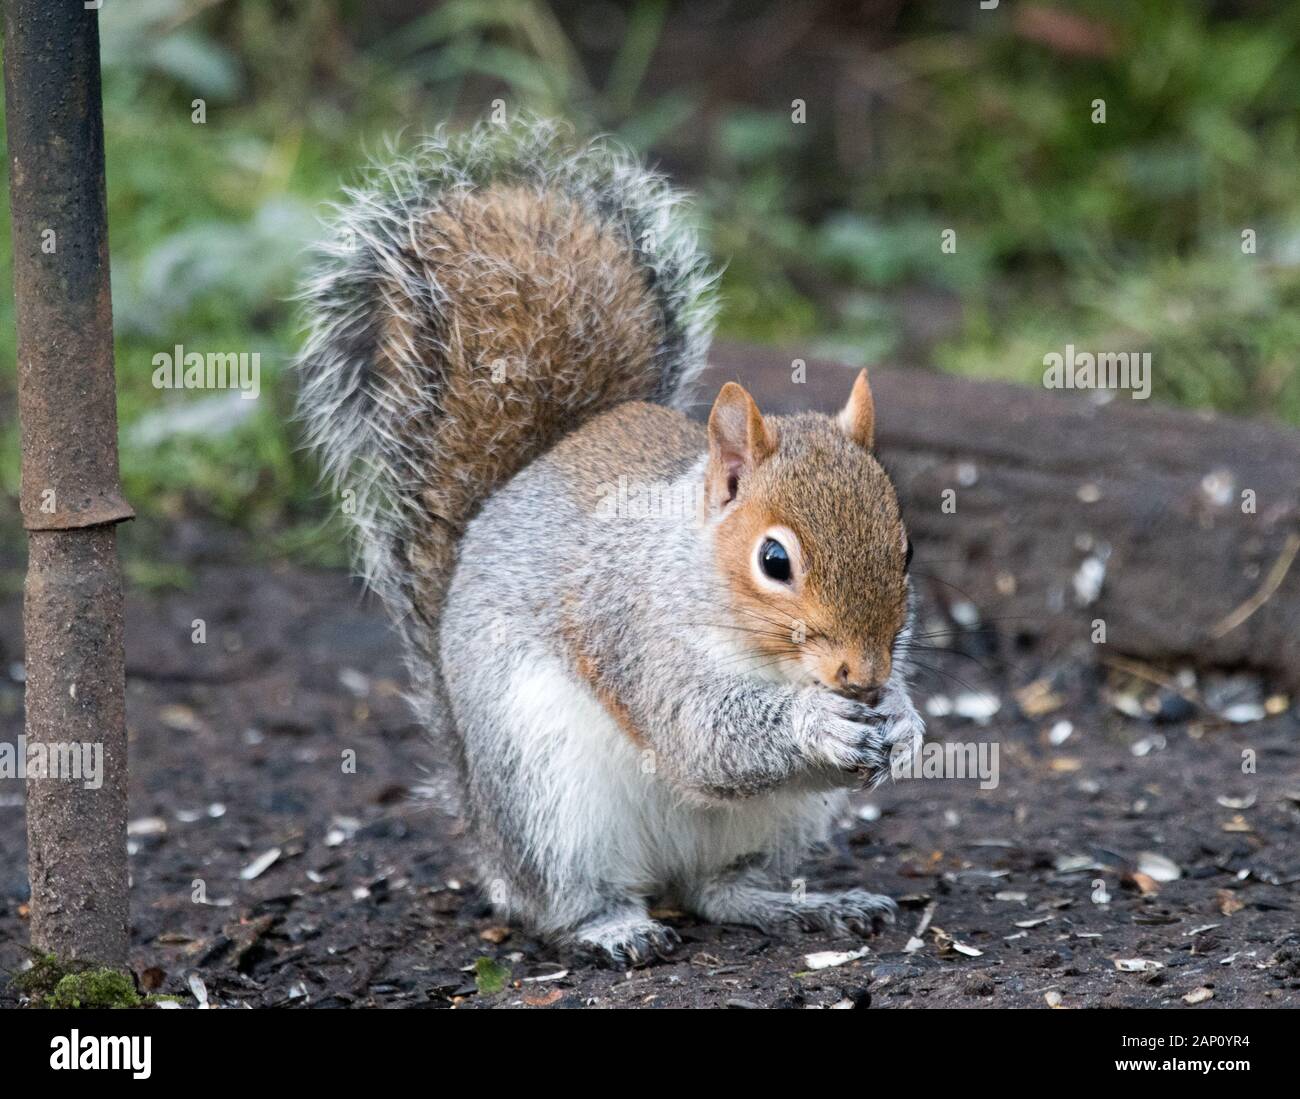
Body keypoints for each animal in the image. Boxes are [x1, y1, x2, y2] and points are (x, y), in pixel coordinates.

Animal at [296, 118, 923, 965]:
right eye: (774, 560)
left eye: (906, 550)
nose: (862, 677)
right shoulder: (635, 630)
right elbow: (701, 736)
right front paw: (817, 723)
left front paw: (906, 720)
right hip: (549, 792)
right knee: (568, 897)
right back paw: (614, 927)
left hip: (774, 822)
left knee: (719, 889)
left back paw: (803, 904)